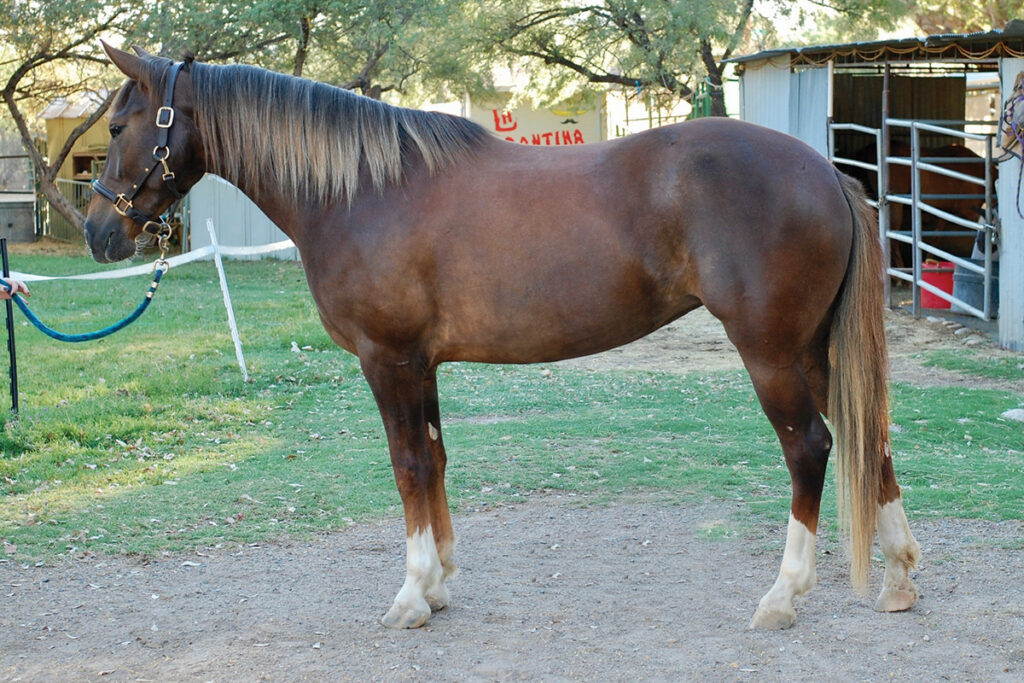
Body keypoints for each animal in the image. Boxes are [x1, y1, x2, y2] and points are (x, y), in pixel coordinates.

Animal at [85, 44, 920, 631]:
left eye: (120, 126)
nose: (97, 231)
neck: (363, 192)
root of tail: (828, 173)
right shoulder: (419, 363)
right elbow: (434, 460)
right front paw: (440, 581)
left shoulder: (387, 360)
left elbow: (407, 466)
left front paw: (411, 595)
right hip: (813, 350)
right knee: (869, 434)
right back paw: (900, 578)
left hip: (771, 352)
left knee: (811, 448)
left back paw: (783, 595)